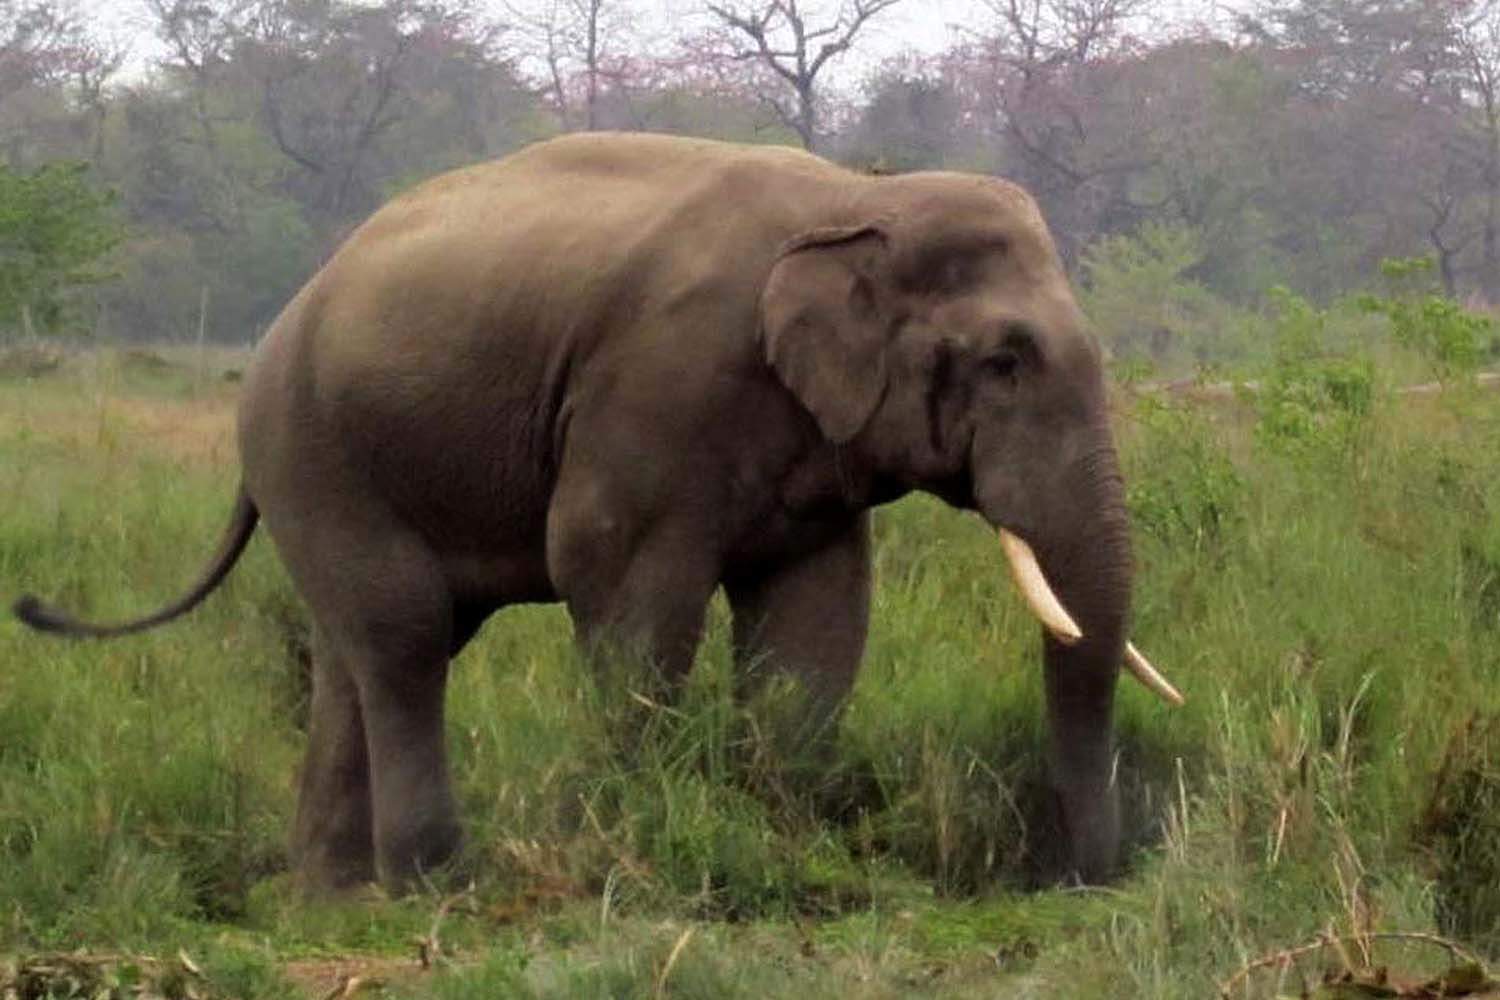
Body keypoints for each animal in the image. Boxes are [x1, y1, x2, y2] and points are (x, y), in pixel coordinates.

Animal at [15, 132, 1180, 891]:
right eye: (1005, 361)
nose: (1077, 878)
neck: (858, 193)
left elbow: (814, 620)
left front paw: (780, 847)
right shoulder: (661, 385)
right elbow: (621, 586)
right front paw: (633, 844)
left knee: (354, 654)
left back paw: (333, 897)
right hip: (315, 450)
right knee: (403, 636)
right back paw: (434, 881)